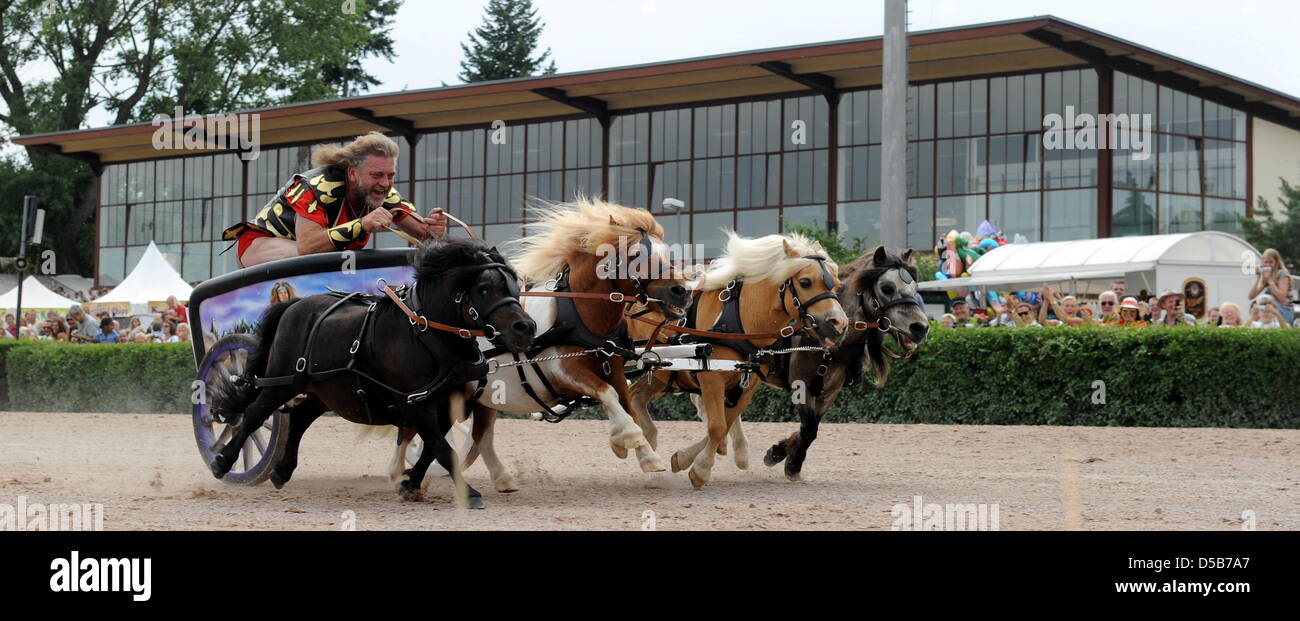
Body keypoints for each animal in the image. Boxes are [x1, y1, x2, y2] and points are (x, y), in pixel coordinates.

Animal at [208, 238, 536, 508]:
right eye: (484, 288)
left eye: (513, 285)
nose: (526, 328)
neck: (428, 336)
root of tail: (295, 304)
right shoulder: (415, 404)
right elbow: (441, 448)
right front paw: (467, 493)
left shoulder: (447, 403)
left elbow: (433, 448)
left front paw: (409, 483)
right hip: (281, 383)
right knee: (253, 415)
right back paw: (222, 462)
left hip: (322, 391)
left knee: (299, 418)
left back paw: (282, 470)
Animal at [388, 198, 693, 491]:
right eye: (635, 255)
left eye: (667, 253)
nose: (682, 291)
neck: (579, 314)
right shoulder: (565, 372)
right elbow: (607, 394)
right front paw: (626, 440)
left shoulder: (615, 368)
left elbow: (626, 404)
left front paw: (644, 452)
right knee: (412, 432)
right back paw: (397, 473)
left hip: (482, 396)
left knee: (477, 436)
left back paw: (500, 479)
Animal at [626, 232, 849, 489]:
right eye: (805, 282)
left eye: (837, 283)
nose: (840, 324)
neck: (741, 317)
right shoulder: (711, 379)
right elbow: (717, 426)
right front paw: (701, 470)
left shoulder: (749, 384)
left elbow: (723, 424)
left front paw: (684, 459)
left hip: (661, 370)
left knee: (635, 397)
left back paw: (648, 448)